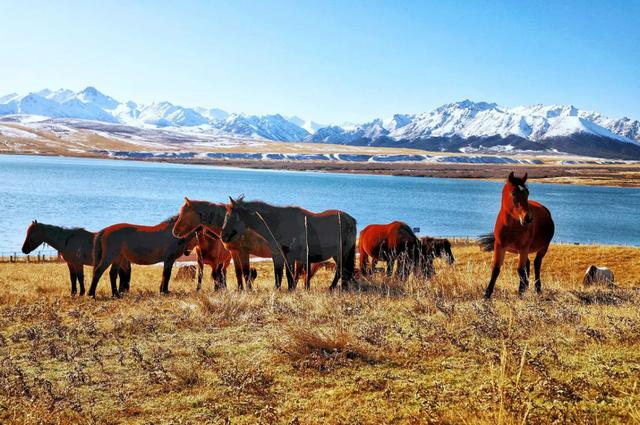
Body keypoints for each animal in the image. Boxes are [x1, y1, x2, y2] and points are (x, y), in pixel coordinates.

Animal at [221, 197, 357, 291]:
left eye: (231, 216)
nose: (223, 237)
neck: (279, 223)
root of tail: (351, 220)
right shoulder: (279, 255)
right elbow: (280, 273)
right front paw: (280, 289)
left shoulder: (288, 255)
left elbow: (287, 274)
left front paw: (289, 289)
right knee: (343, 271)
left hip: (342, 253)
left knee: (341, 270)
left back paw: (332, 288)